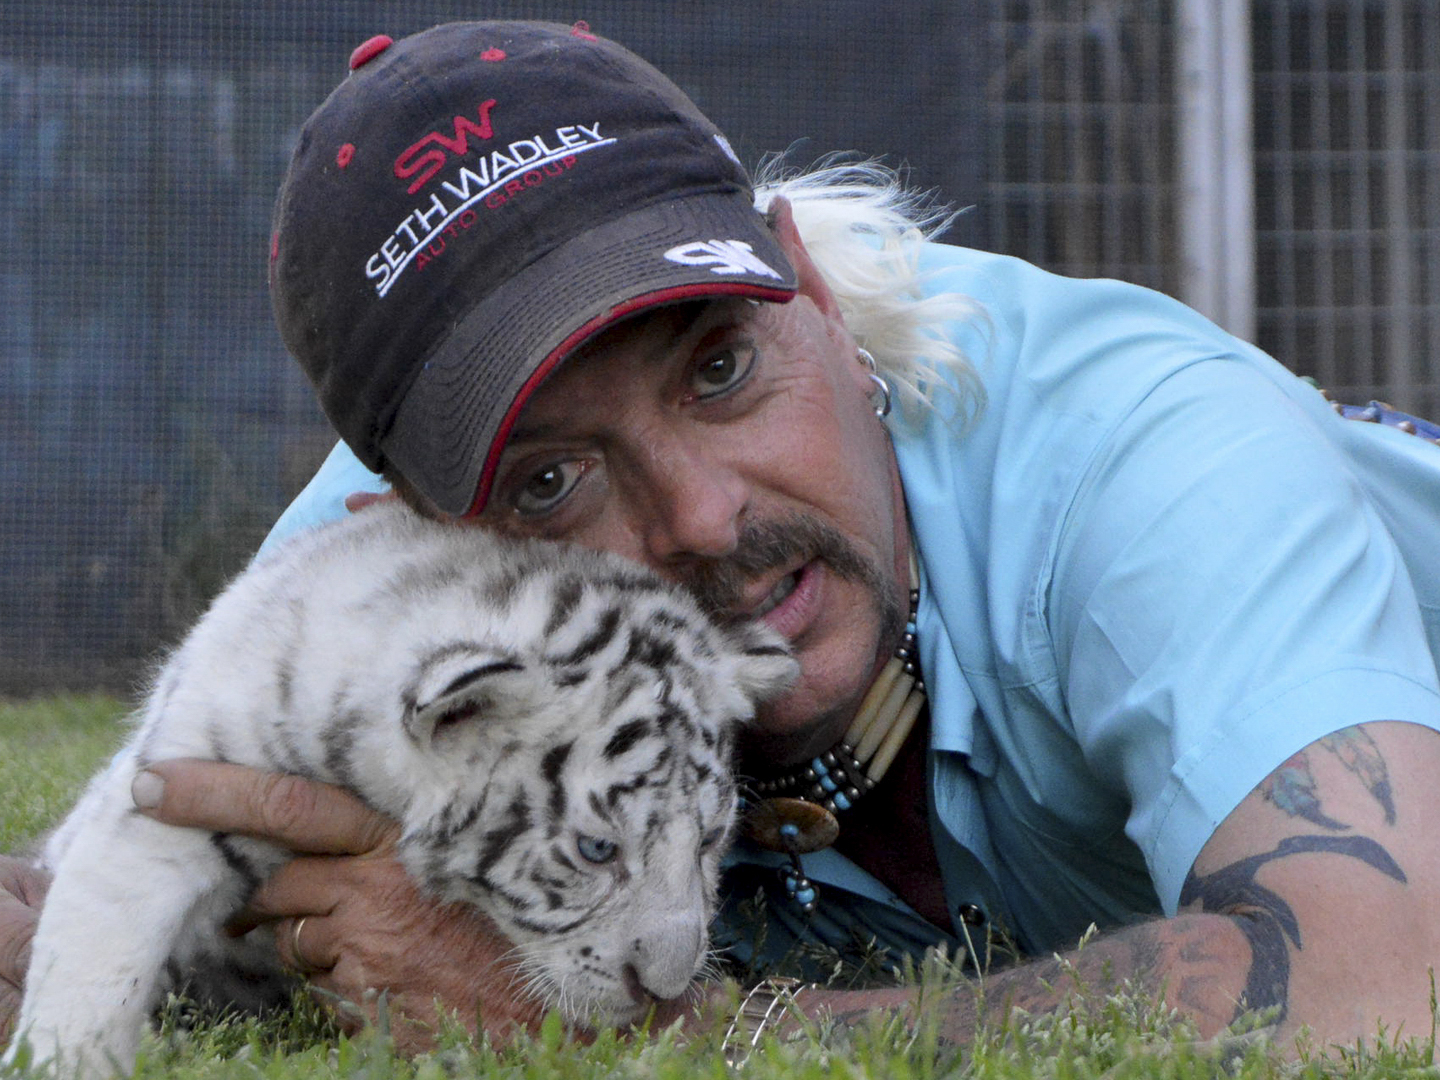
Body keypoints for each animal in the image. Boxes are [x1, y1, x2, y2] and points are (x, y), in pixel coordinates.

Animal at [8, 499, 796, 1077]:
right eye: (596, 850)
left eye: (711, 840)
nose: (665, 991)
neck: (369, 783)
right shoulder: (164, 801)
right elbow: (97, 967)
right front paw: (60, 1061)